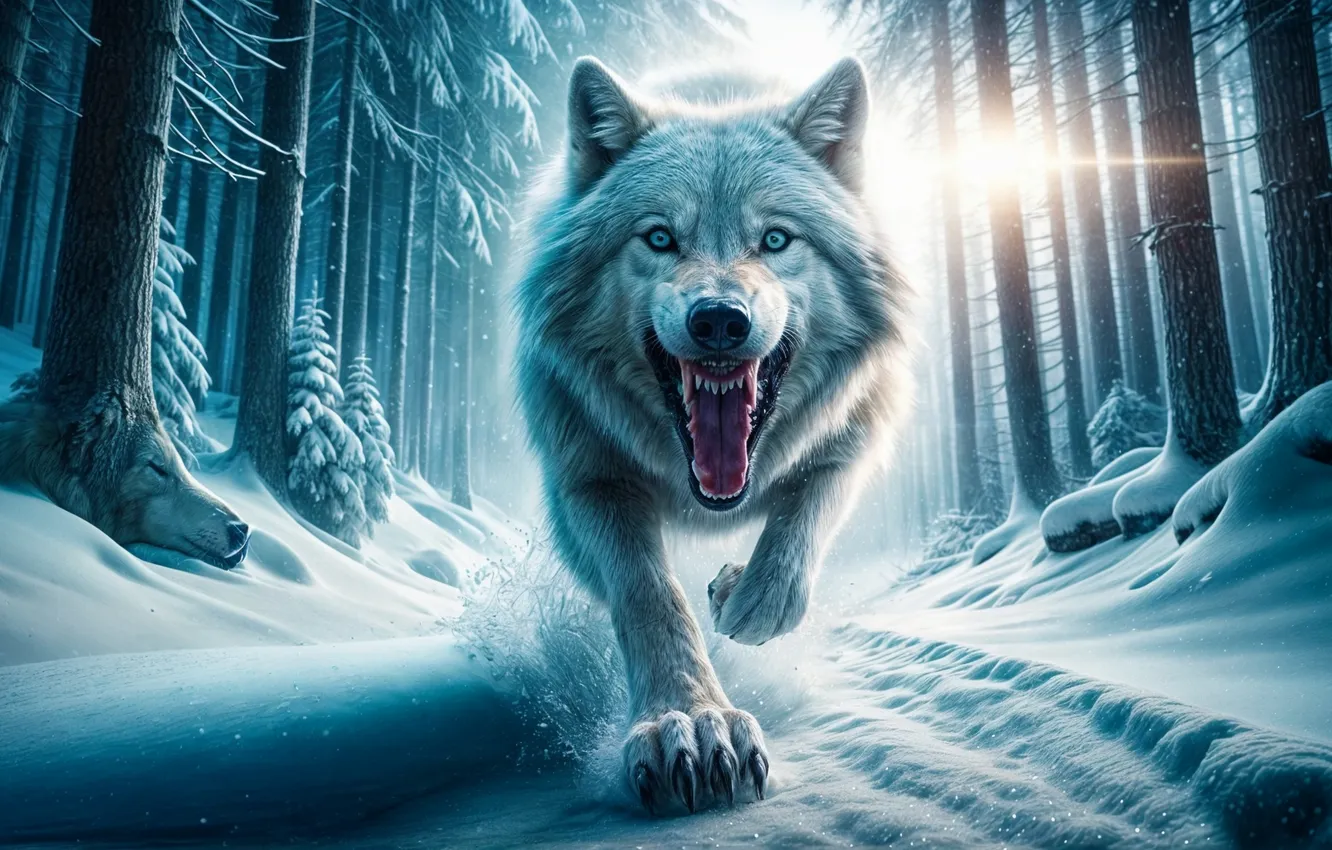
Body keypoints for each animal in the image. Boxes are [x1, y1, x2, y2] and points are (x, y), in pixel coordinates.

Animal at [514, 55, 909, 813]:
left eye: (776, 239)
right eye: (660, 237)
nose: (720, 319)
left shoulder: (857, 432)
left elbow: (792, 551)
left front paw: (738, 596)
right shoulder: (584, 479)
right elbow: (651, 597)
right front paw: (689, 725)